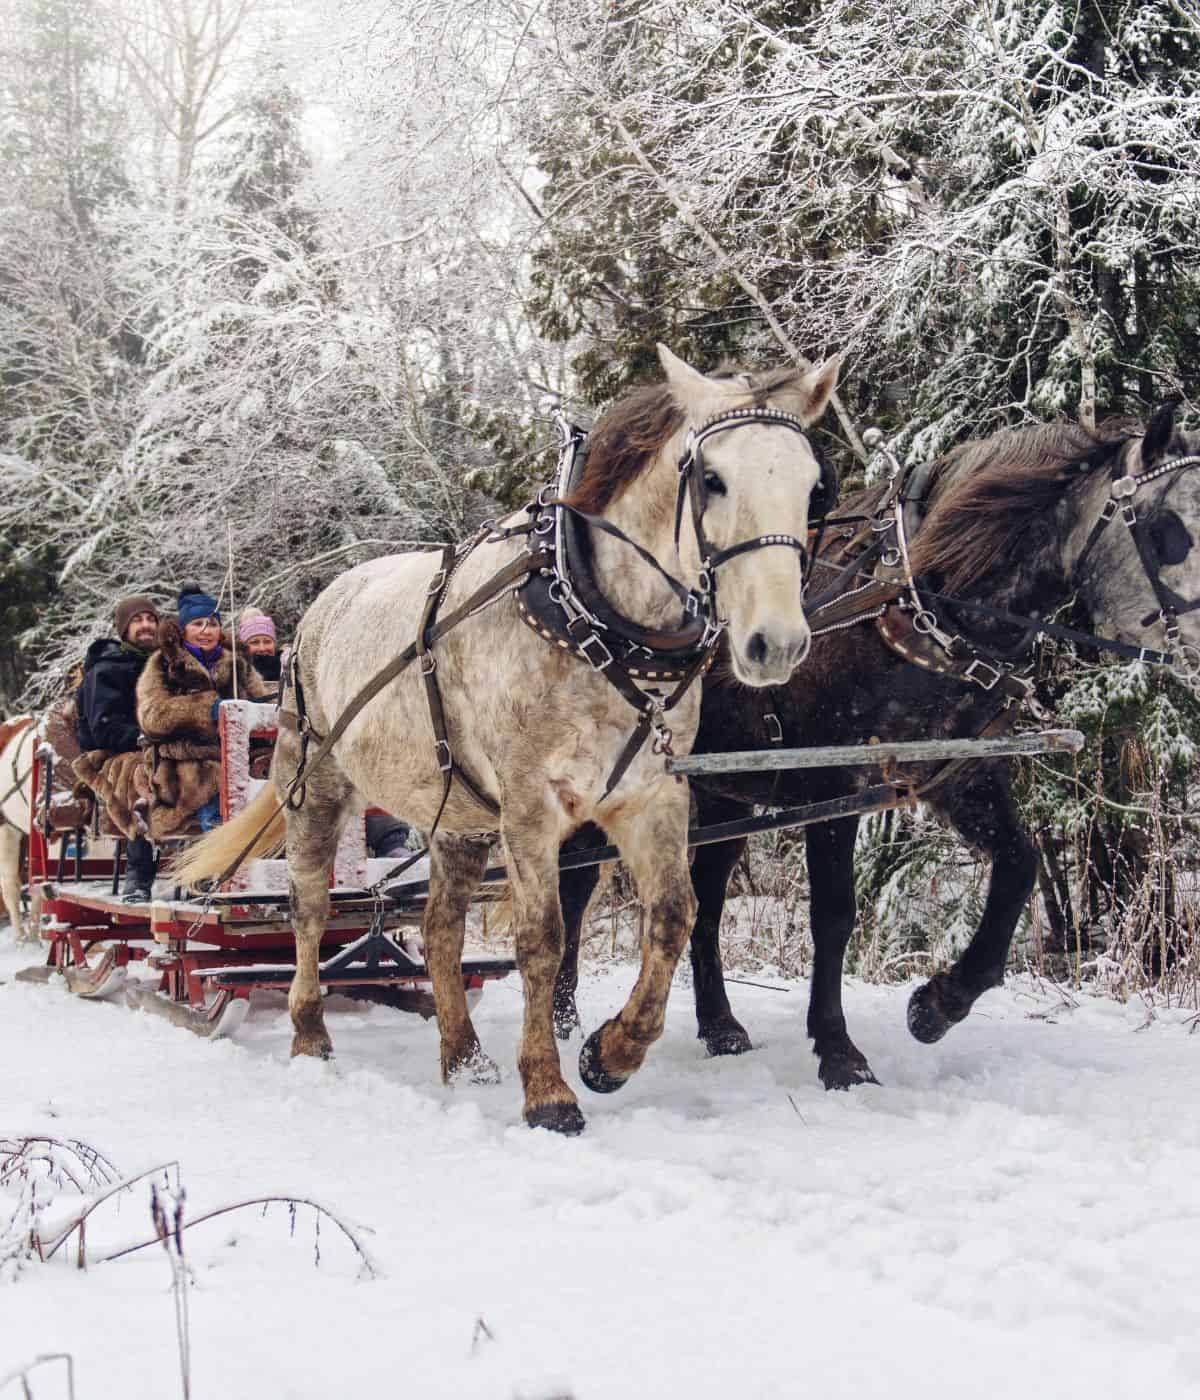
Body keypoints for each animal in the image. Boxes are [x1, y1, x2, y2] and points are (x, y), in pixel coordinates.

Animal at [175, 344, 842, 1132]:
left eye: (814, 488)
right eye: (712, 479)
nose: (777, 643)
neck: (597, 620)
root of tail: (325, 603)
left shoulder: (650, 796)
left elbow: (673, 918)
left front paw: (611, 1054)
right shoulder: (530, 804)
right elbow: (542, 939)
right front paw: (549, 1090)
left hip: (457, 817)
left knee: (439, 928)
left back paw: (462, 1055)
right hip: (315, 781)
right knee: (309, 908)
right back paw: (310, 1034)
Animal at [553, 402, 1200, 1089]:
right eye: (1167, 530)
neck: (920, 607)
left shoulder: (959, 776)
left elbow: (1019, 867)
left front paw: (939, 1005)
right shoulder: (832, 782)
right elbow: (834, 915)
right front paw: (839, 1051)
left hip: (726, 795)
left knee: (705, 903)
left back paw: (720, 1027)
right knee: (572, 886)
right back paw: (563, 1017)